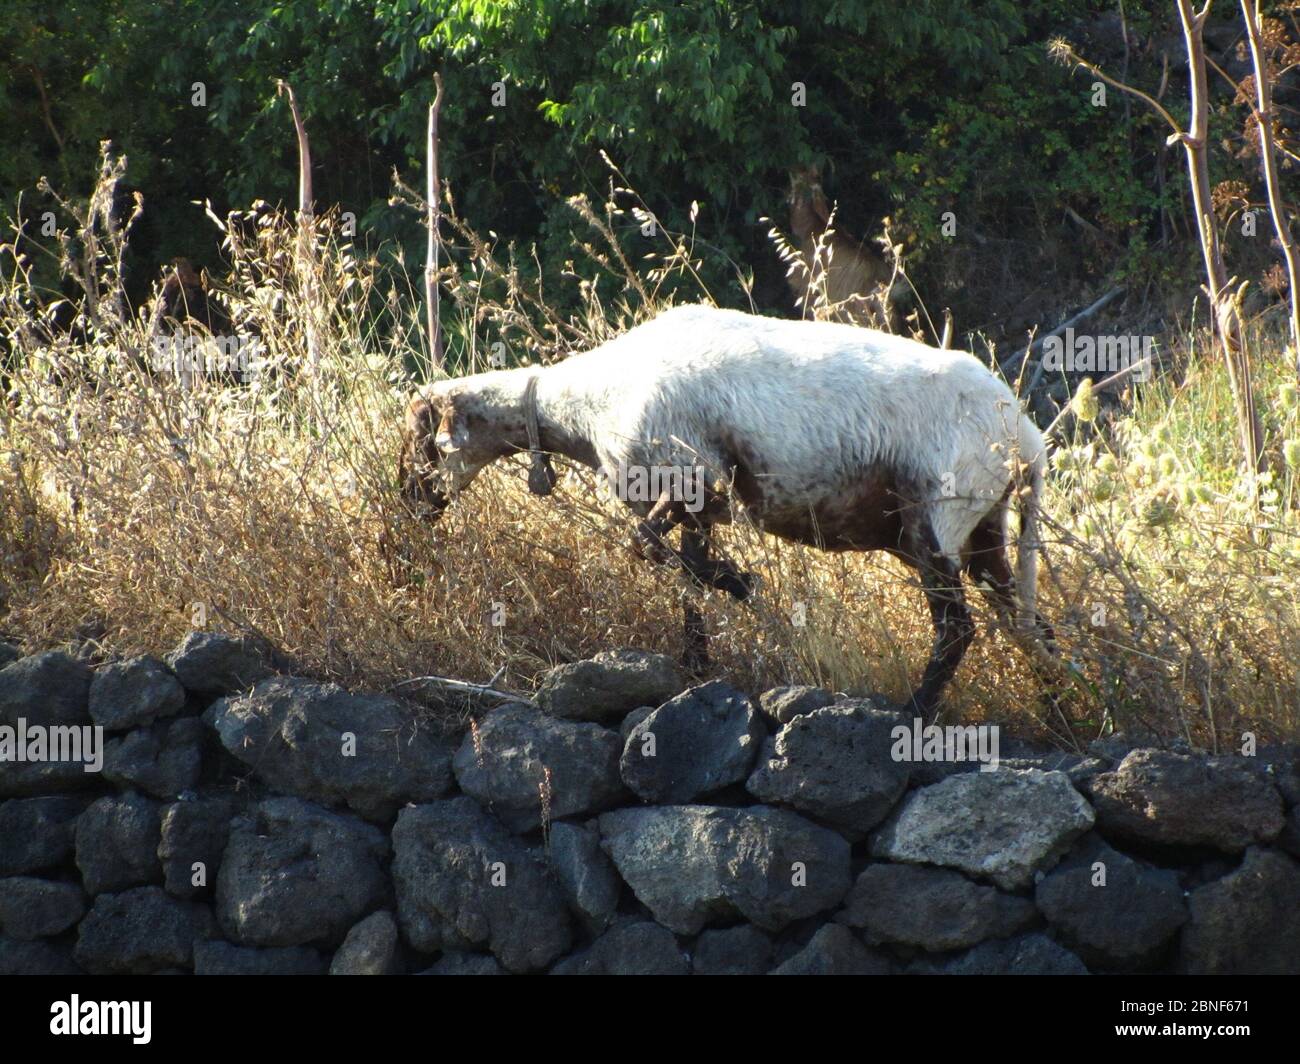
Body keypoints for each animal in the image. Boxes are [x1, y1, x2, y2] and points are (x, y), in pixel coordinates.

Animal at [401, 305, 1051, 712]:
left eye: (420, 436)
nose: (408, 506)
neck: (579, 405)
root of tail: (1025, 436)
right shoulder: (695, 507)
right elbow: (685, 581)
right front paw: (696, 665)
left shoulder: (693, 477)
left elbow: (647, 547)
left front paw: (741, 582)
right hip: (984, 528)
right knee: (1028, 624)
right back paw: (1054, 704)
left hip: (936, 514)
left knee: (957, 627)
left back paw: (916, 710)